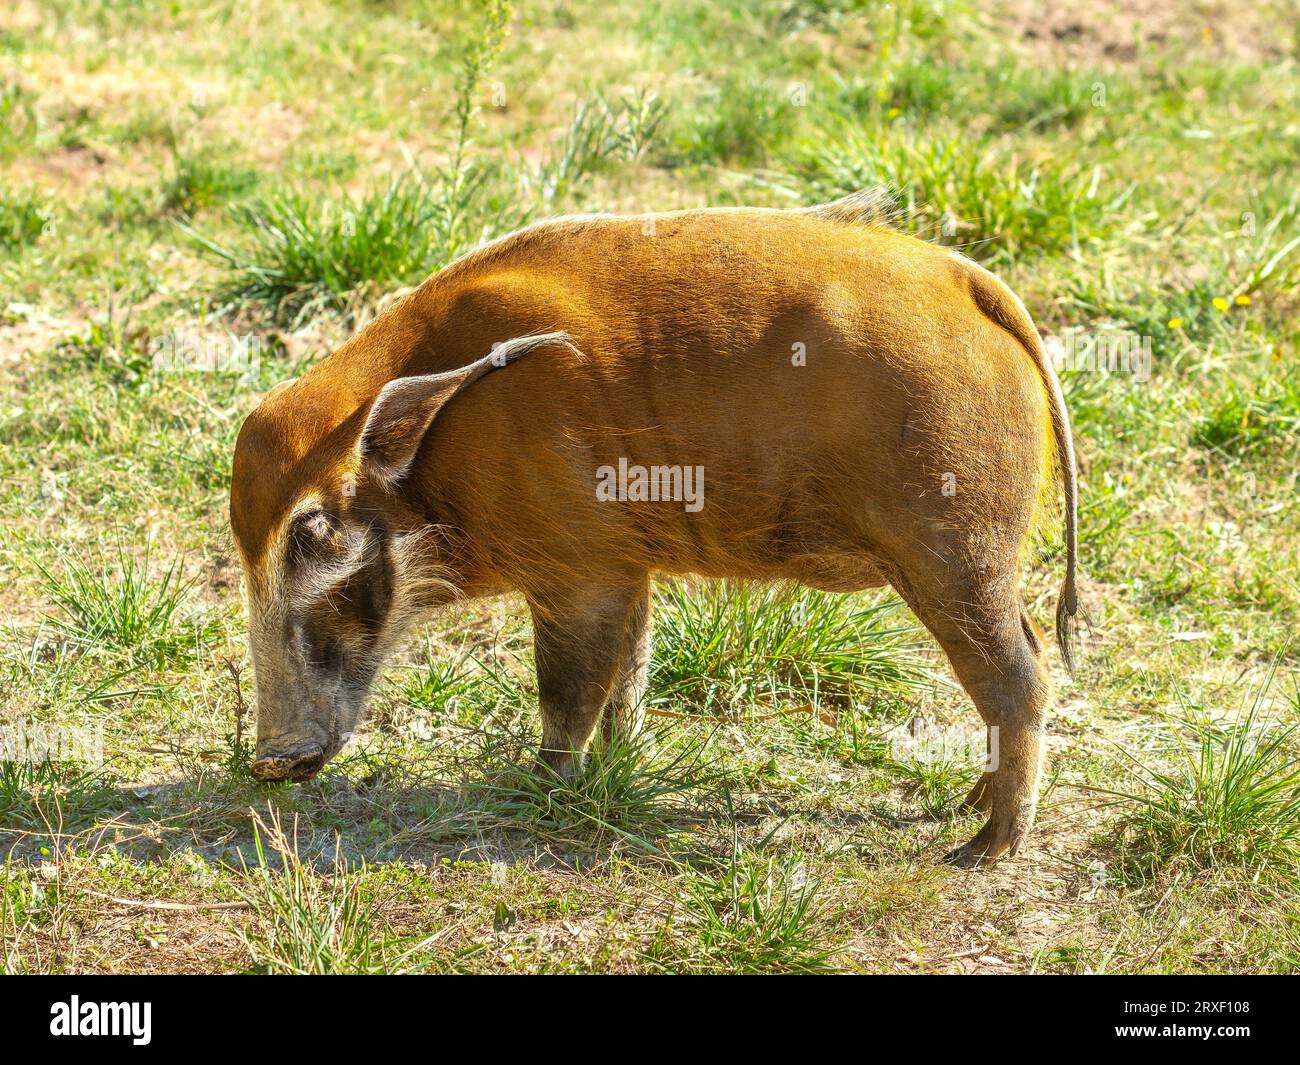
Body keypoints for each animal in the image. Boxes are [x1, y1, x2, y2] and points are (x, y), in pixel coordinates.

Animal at [229, 189, 1079, 866]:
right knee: (1030, 656)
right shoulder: (626, 569)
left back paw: (984, 848)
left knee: (1022, 676)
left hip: (954, 553)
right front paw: (612, 775)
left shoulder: (578, 573)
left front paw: (531, 790)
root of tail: (973, 282)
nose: (270, 760)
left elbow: (568, 692)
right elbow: (627, 685)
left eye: (312, 530)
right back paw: (971, 806)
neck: (446, 451)